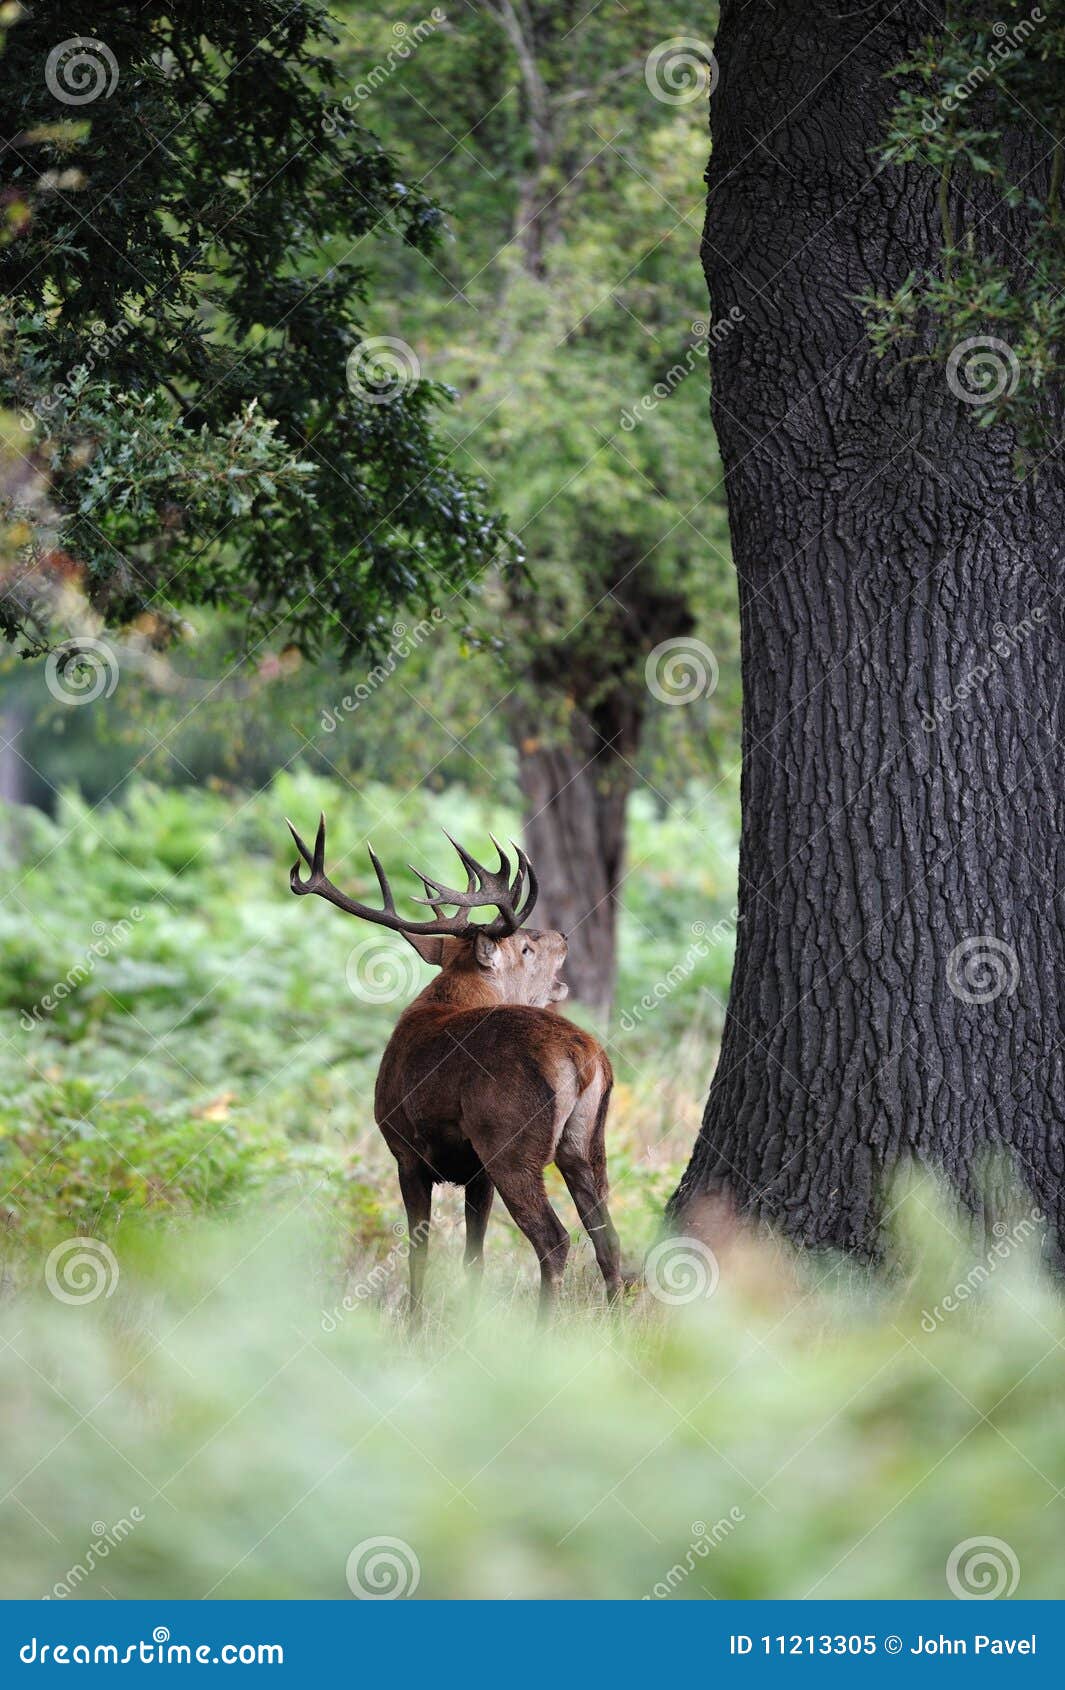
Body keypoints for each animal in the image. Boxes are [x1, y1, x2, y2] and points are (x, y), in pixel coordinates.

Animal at [286, 814, 622, 1318]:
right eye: (526, 948)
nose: (563, 937)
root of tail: (583, 1056)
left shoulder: (405, 1149)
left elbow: (419, 1254)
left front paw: (414, 1324)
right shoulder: (473, 1171)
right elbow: (472, 1257)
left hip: (511, 1142)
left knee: (555, 1240)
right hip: (585, 1139)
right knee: (607, 1237)